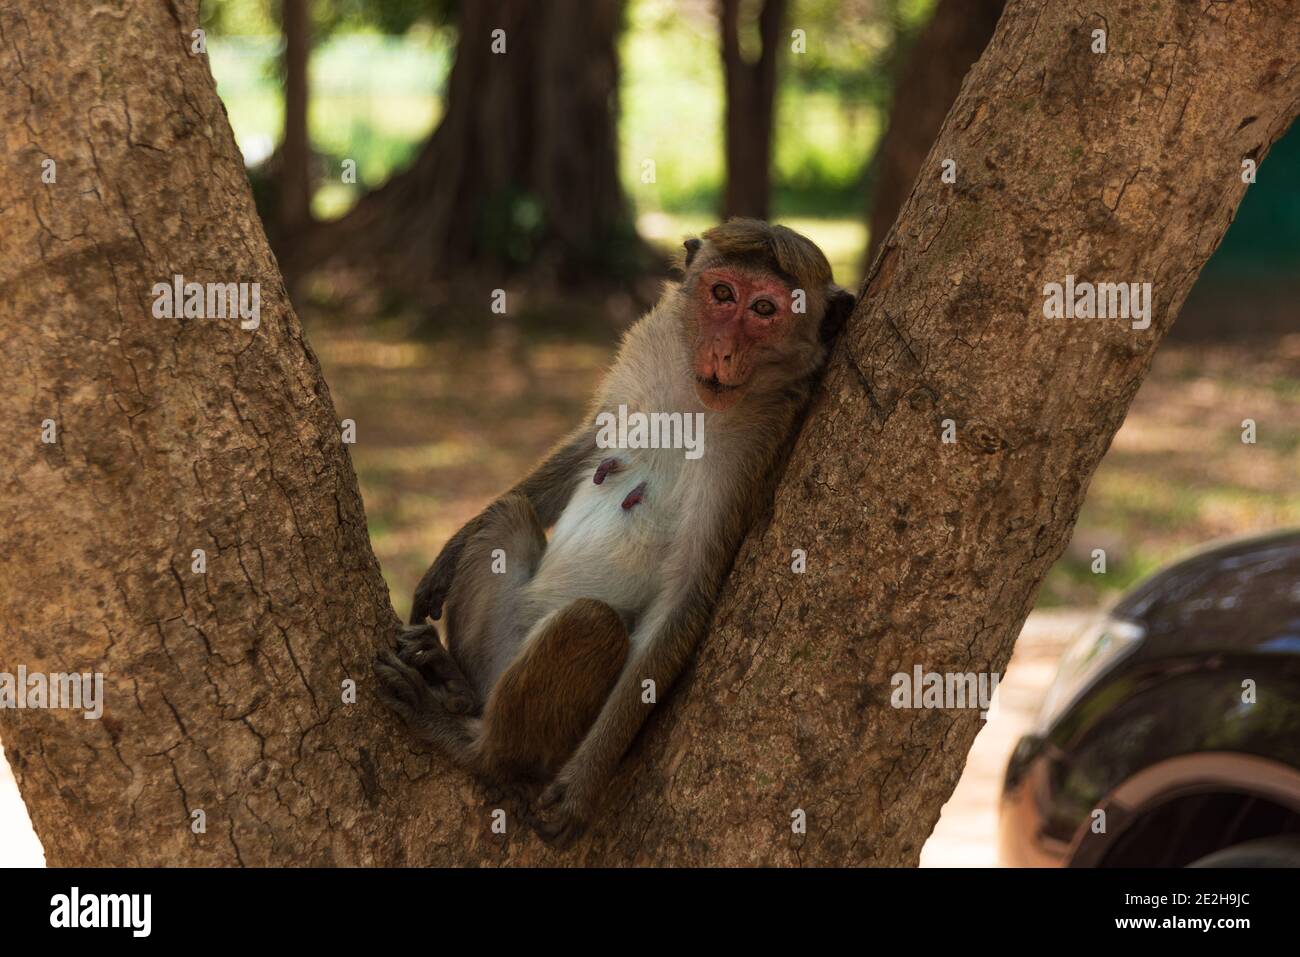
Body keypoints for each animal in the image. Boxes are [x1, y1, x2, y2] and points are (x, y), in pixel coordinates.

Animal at [375, 219, 856, 845]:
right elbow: (590, 443)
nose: (722, 350)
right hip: (503, 648)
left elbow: (685, 596)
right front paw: (446, 557)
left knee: (590, 624)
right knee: (508, 515)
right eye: (723, 294)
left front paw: (580, 788)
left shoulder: (755, 450)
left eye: (765, 309)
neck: (695, 400)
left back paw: (478, 747)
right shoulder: (646, 346)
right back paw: (458, 680)